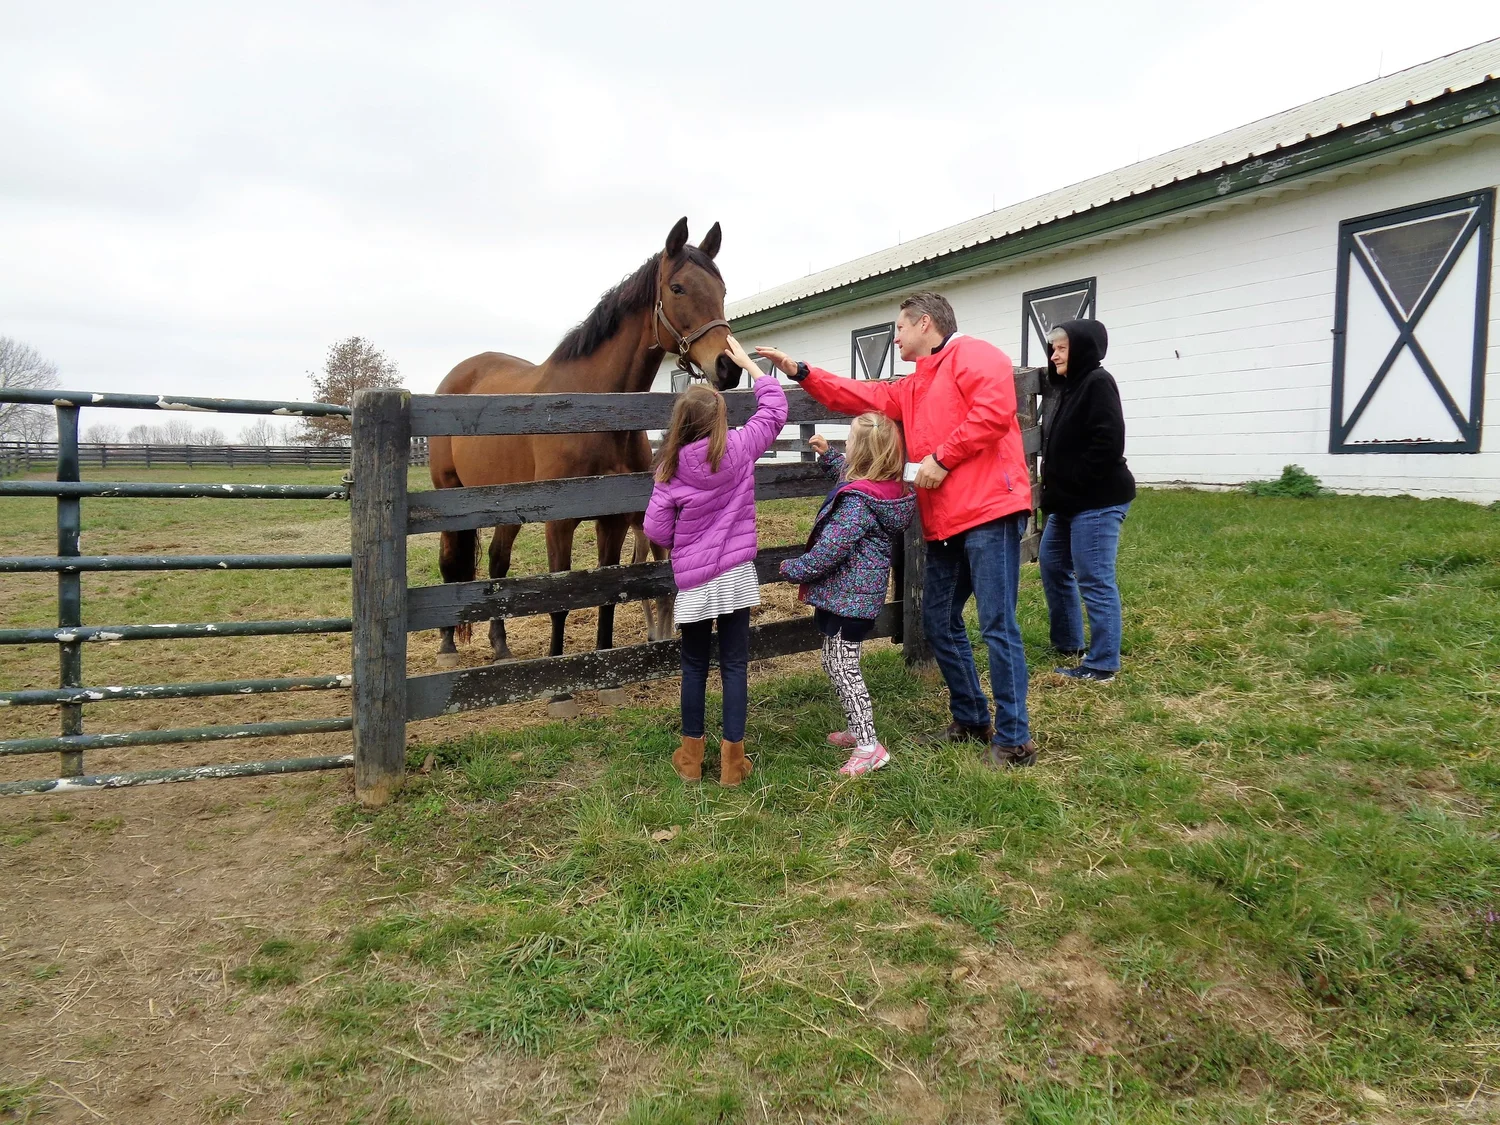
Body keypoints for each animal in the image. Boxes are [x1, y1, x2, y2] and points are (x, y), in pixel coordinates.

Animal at [426, 218, 741, 707]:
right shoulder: (560, 523)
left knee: (497, 565)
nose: (728, 367)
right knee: (449, 563)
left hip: (505, 506)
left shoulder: (613, 521)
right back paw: (446, 647)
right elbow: (559, 597)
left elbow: (607, 594)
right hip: (451, 495)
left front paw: (607, 679)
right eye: (678, 288)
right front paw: (559, 691)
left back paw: (501, 648)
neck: (595, 411)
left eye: (722, 290)